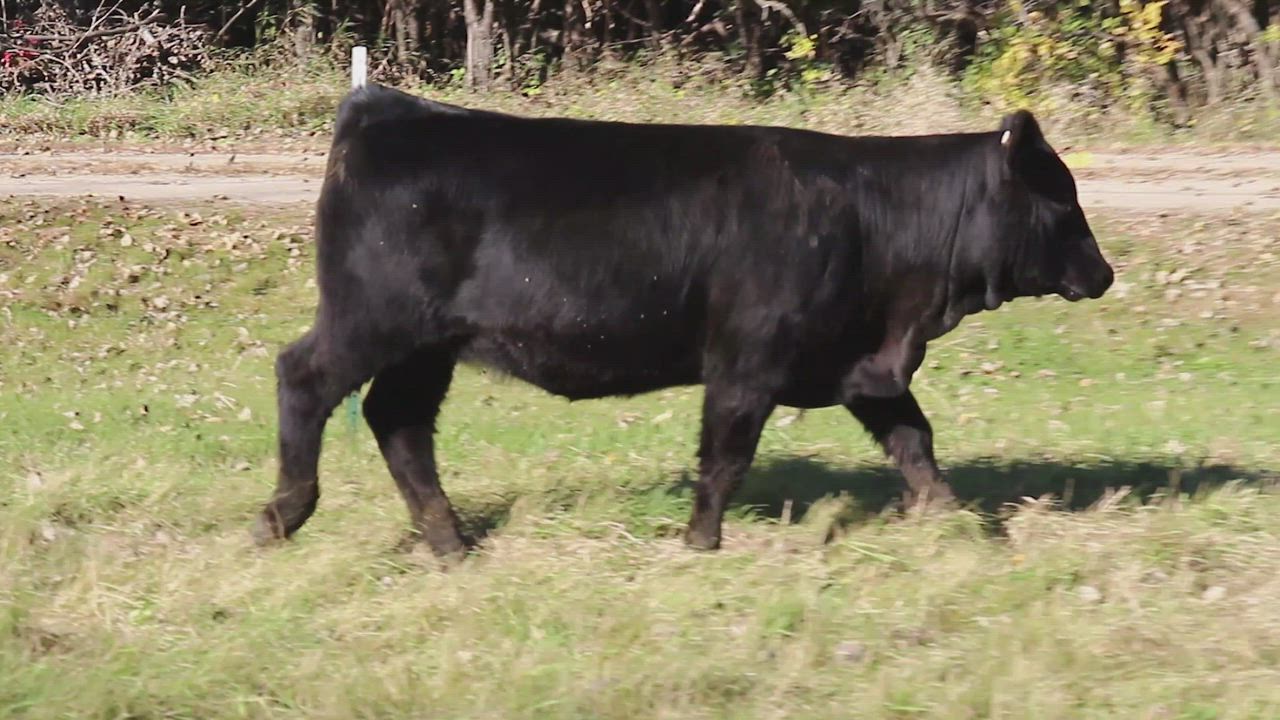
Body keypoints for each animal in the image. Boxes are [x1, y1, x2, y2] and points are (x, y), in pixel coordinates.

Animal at [252, 84, 1114, 560]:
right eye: (1063, 199)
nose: (1104, 272)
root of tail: (387, 107)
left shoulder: (860, 366)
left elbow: (916, 442)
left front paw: (956, 523)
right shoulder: (745, 361)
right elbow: (724, 456)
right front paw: (701, 541)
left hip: (427, 346)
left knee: (399, 423)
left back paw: (451, 543)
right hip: (372, 319)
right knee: (303, 379)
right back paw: (282, 516)